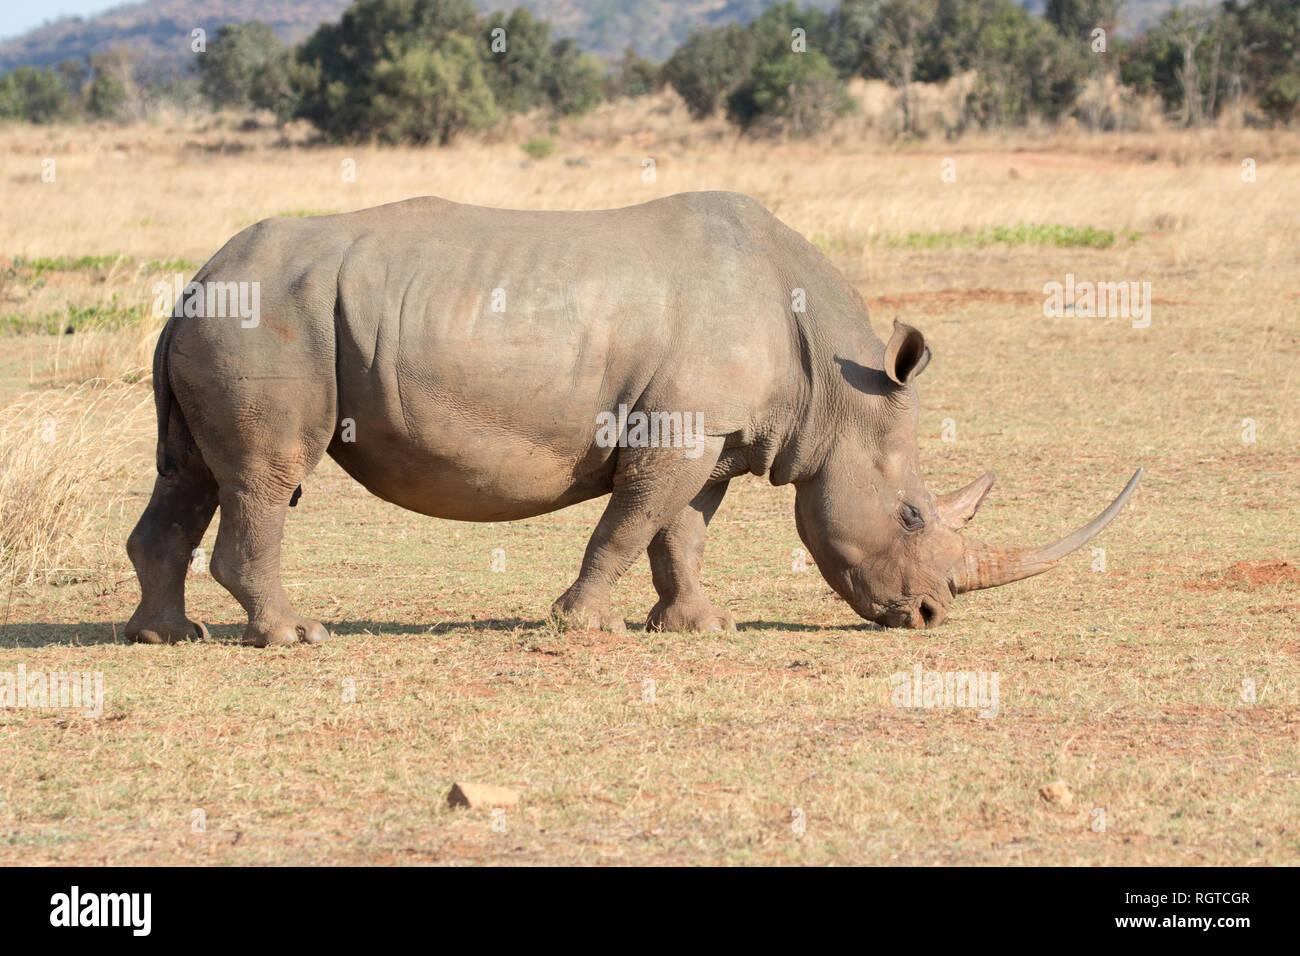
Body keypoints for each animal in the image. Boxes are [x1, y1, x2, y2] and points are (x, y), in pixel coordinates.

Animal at [125, 191, 1140, 646]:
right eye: (914, 516)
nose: (930, 614)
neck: (834, 389)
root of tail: (195, 282)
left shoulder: (715, 435)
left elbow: (679, 533)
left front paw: (697, 627)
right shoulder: (682, 431)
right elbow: (627, 527)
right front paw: (578, 624)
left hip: (229, 318)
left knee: (190, 476)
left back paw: (166, 638)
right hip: (267, 321)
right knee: (264, 477)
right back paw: (294, 639)